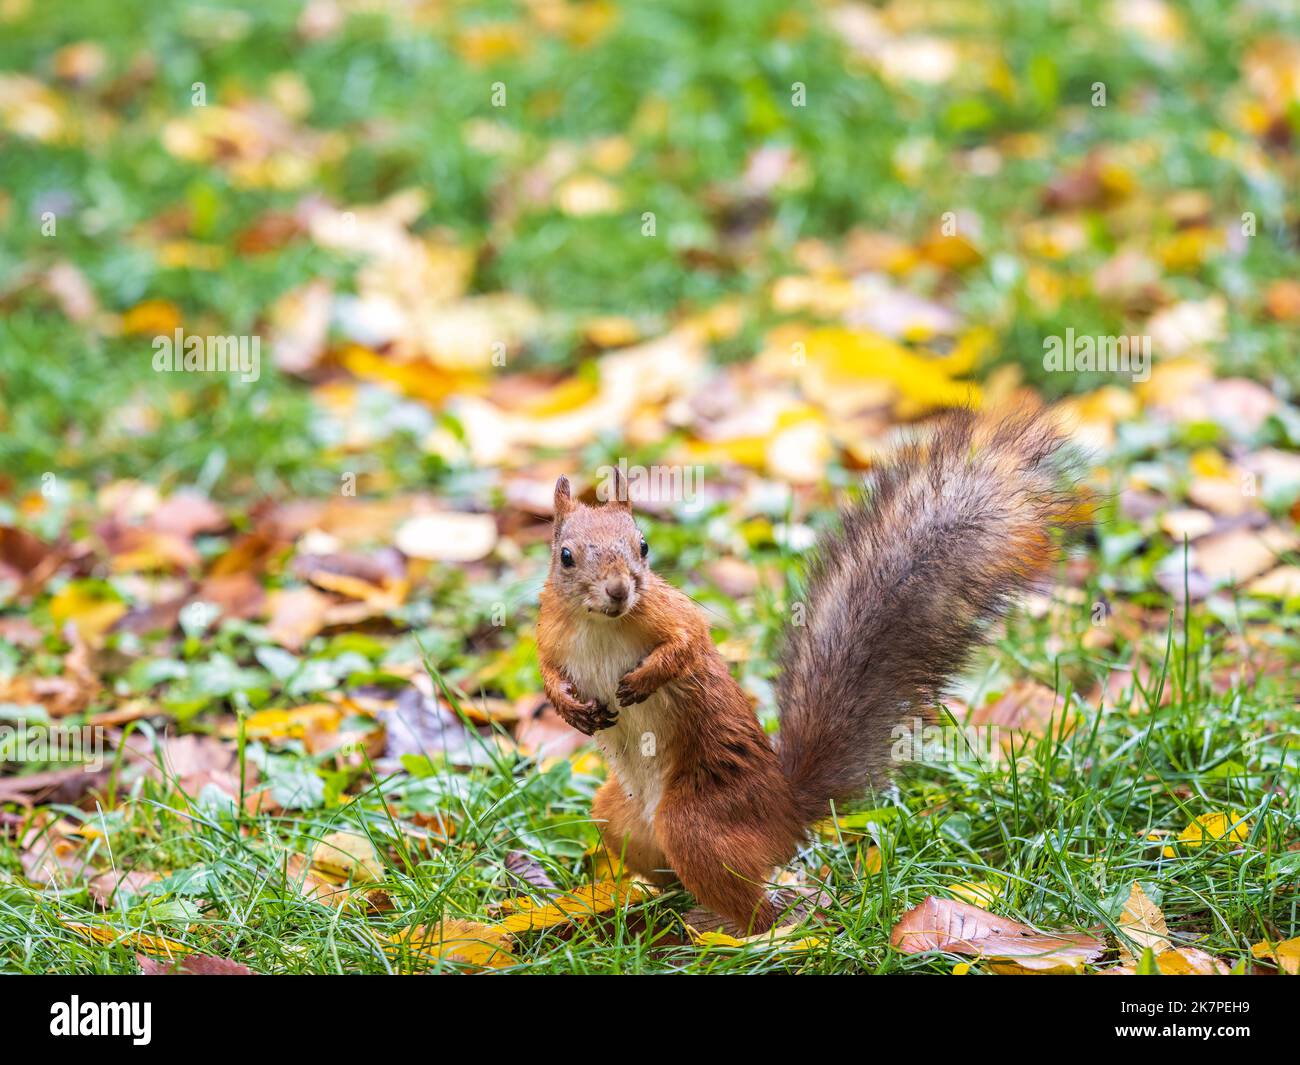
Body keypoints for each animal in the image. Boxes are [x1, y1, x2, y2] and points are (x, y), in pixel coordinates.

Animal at [537, 408, 1080, 932]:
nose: (619, 589)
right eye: (565, 556)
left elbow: (686, 647)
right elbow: (548, 674)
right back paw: (659, 907)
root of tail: (786, 813)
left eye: (644, 546)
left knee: (755, 905)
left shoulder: (673, 614)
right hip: (617, 818)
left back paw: (744, 933)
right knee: (676, 874)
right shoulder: (550, 634)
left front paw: (642, 680)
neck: (602, 623)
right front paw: (569, 708)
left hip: (698, 824)